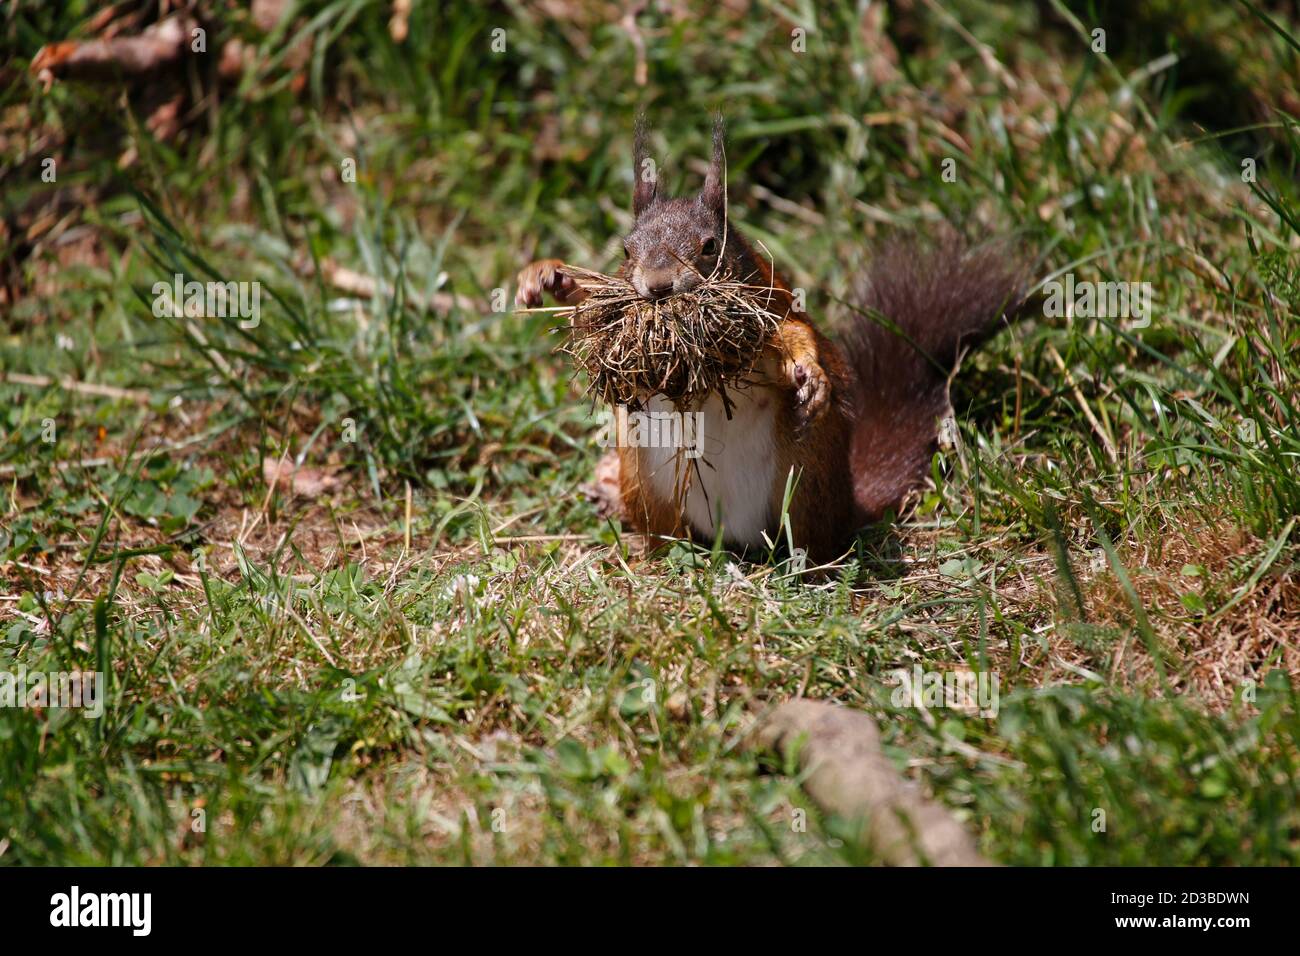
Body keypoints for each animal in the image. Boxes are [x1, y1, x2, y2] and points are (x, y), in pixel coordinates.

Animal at [517, 118, 1026, 564]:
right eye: (626, 250)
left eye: (709, 246)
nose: (658, 287)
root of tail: (735, 534)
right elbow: (591, 314)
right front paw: (547, 277)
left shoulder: (774, 308)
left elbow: (796, 337)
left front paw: (811, 373)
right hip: (647, 478)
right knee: (668, 535)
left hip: (807, 477)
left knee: (813, 537)